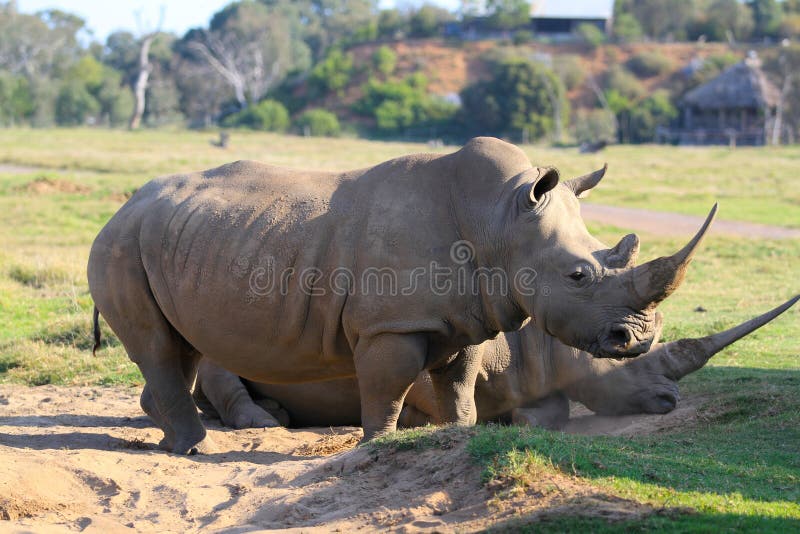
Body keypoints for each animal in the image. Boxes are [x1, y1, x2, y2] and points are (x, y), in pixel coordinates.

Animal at [88, 137, 712, 454]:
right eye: (579, 276)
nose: (637, 338)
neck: (500, 219)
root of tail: (123, 206)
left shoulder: (469, 315)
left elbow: (459, 384)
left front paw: (458, 436)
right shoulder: (391, 324)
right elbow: (388, 389)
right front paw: (376, 448)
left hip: (174, 240)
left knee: (182, 344)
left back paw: (173, 439)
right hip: (119, 244)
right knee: (159, 345)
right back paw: (194, 447)